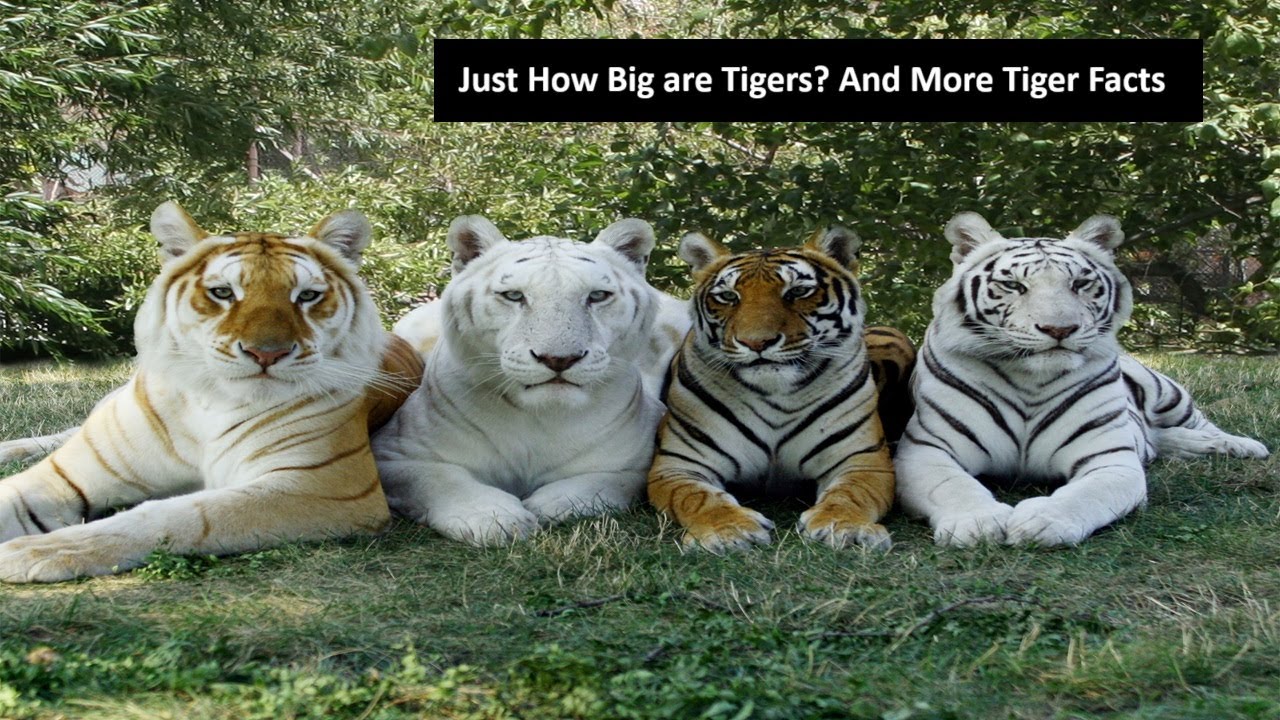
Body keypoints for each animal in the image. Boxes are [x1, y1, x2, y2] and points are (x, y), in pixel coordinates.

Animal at [0, 201, 423, 582]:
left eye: (307, 296)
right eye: (223, 292)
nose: (266, 353)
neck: (212, 400)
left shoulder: (325, 486)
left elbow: (183, 514)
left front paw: (37, 551)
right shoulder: (66, 473)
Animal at [372, 215, 688, 546]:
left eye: (597, 296)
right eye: (514, 295)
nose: (559, 358)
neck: (539, 417)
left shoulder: (642, 458)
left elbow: (611, 481)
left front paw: (548, 504)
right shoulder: (395, 454)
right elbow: (439, 479)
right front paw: (494, 518)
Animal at [646, 227, 914, 553]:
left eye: (798, 292)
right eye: (728, 296)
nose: (756, 342)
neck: (775, 394)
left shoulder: (862, 460)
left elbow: (851, 494)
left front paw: (845, 526)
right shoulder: (679, 465)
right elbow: (699, 498)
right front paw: (729, 531)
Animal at [895, 211, 1270, 547]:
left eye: (1080, 283)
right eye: (1013, 285)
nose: (1059, 329)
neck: (1029, 379)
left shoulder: (1109, 458)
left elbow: (1084, 495)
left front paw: (1042, 521)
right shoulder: (926, 450)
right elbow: (952, 486)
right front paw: (977, 522)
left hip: (1166, 392)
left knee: (1199, 423)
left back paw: (1241, 446)